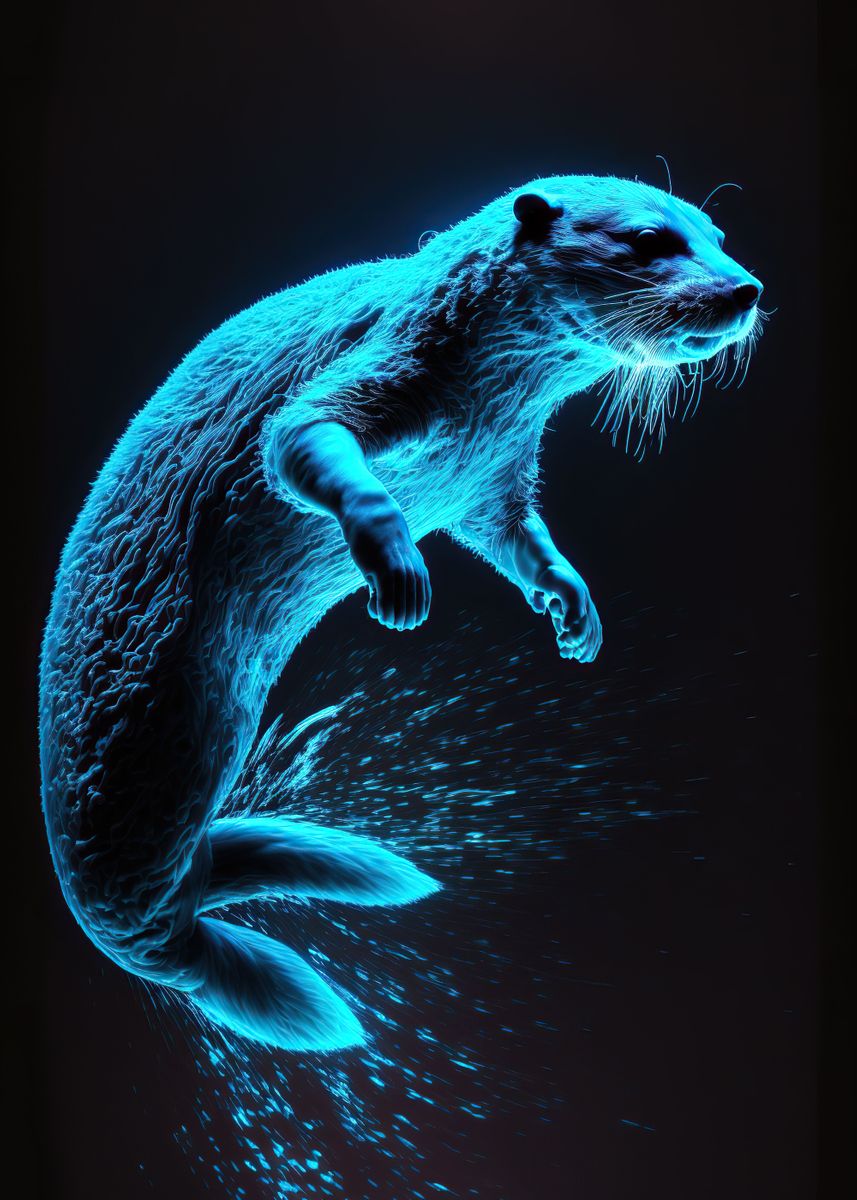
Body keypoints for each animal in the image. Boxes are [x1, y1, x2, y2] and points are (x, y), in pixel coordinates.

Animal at [40, 175, 763, 1052]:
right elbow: (301, 438)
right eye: (651, 238)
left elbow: (518, 537)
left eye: (719, 235)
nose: (745, 289)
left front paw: (571, 607)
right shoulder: (389, 362)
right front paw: (396, 571)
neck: (485, 393)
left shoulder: (494, 468)